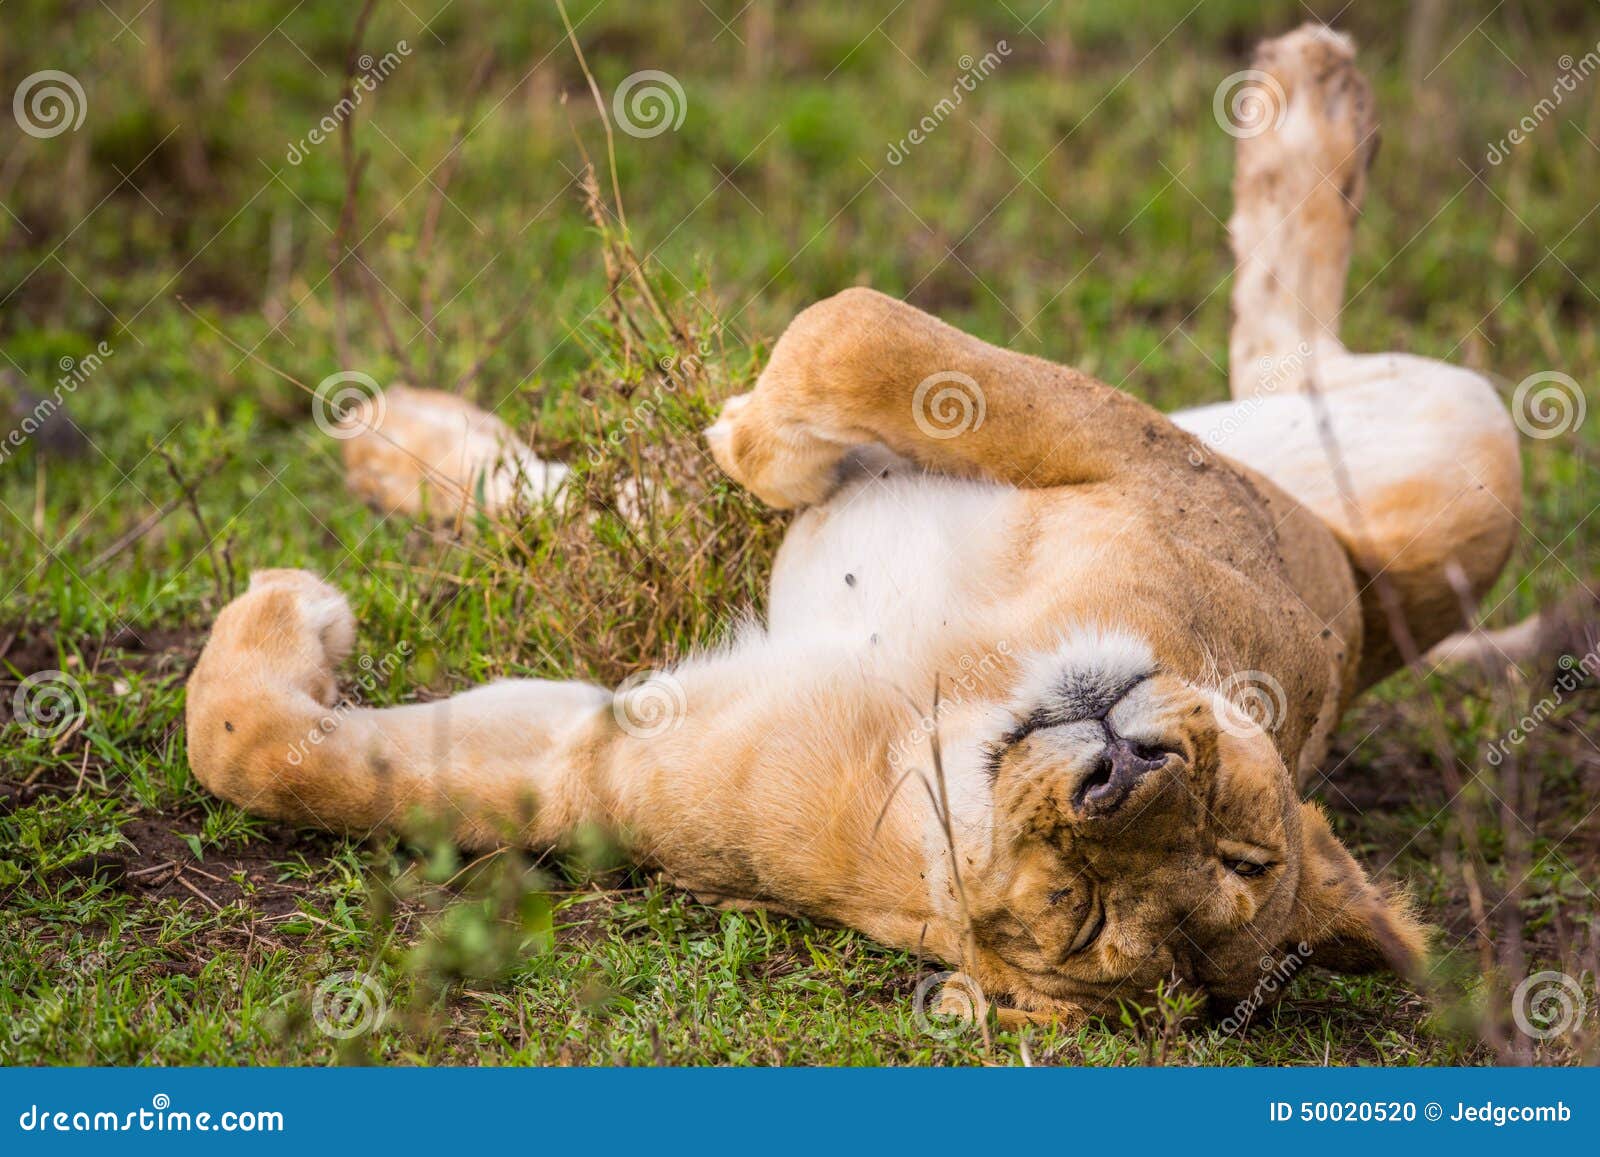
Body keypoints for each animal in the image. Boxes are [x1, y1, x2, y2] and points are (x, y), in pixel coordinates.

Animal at [184, 26, 1521, 1028]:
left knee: (1298, 337)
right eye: (1243, 847)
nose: (1121, 774)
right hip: (1358, 459)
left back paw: (1314, 97)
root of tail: (1376, 604)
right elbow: (859, 328)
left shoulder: (594, 759)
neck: (949, 697)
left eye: (1087, 909)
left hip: (1474, 445)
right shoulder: (1147, 462)